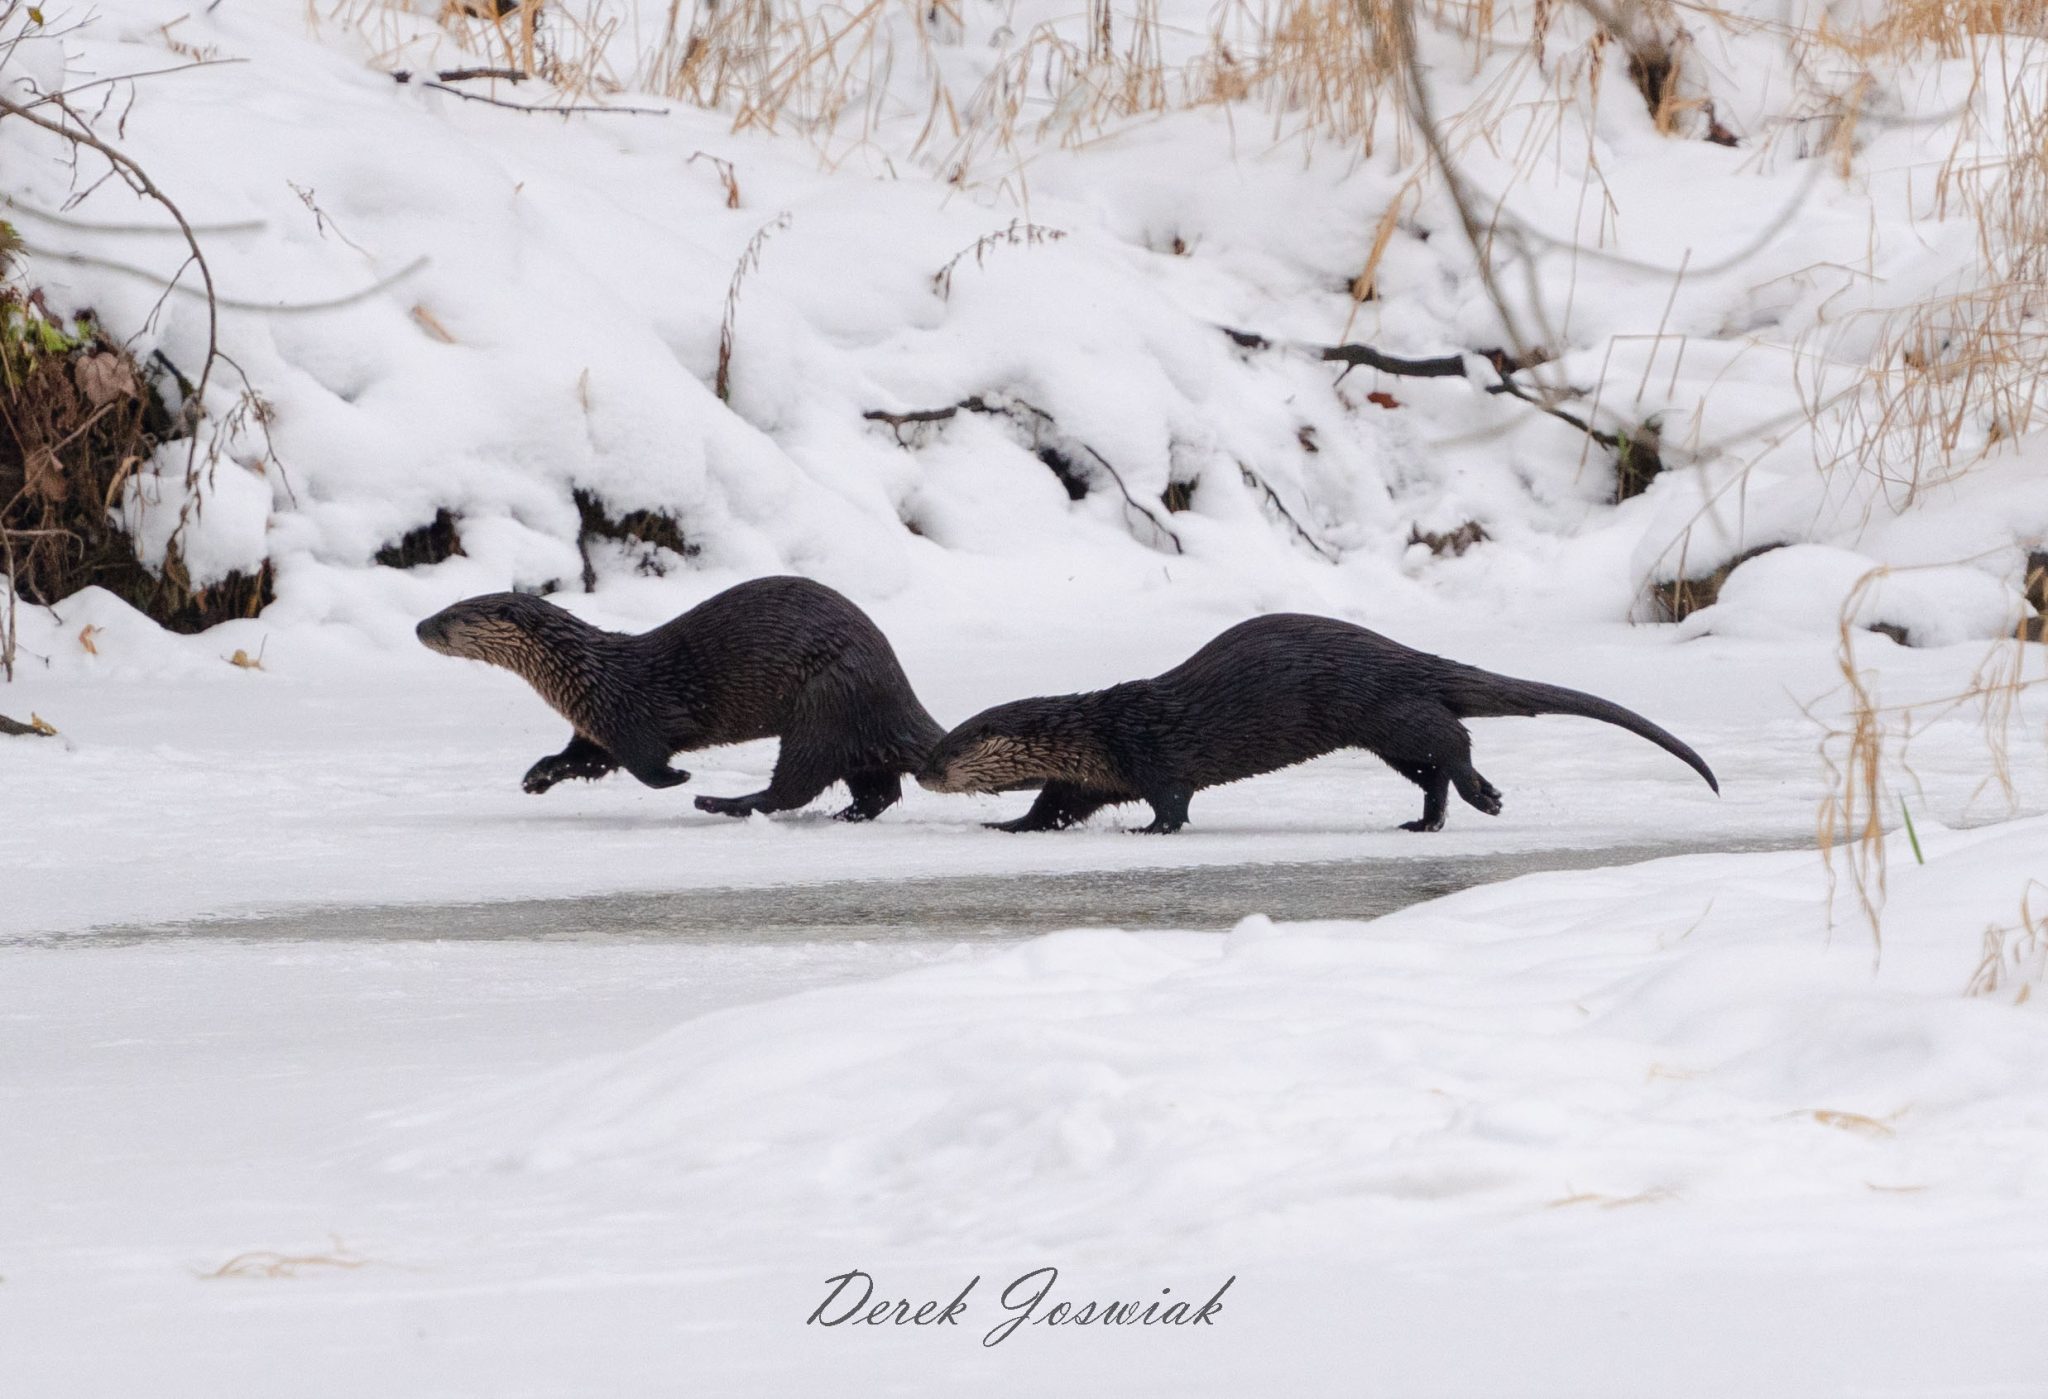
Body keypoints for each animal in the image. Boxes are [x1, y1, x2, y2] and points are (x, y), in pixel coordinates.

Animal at [417, 576, 943, 821]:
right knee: (876, 792)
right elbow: (579, 760)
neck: (587, 678)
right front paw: (535, 779)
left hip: (827, 704)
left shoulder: (629, 721)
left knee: (793, 785)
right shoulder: (596, 730)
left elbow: (648, 768)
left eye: (452, 618)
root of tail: (902, 698)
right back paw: (843, 815)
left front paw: (680, 777)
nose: (420, 626)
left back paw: (715, 801)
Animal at [919, 613, 1717, 833]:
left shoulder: (1148, 755)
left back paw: (1476, 801)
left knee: (1453, 747)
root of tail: (1409, 656)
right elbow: (1054, 805)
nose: (922, 771)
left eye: (950, 747)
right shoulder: (1089, 775)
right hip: (1393, 729)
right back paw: (1432, 817)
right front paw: (1010, 825)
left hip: (1390, 711)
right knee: (1436, 765)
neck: (1100, 734)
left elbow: (1173, 802)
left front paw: (1150, 832)